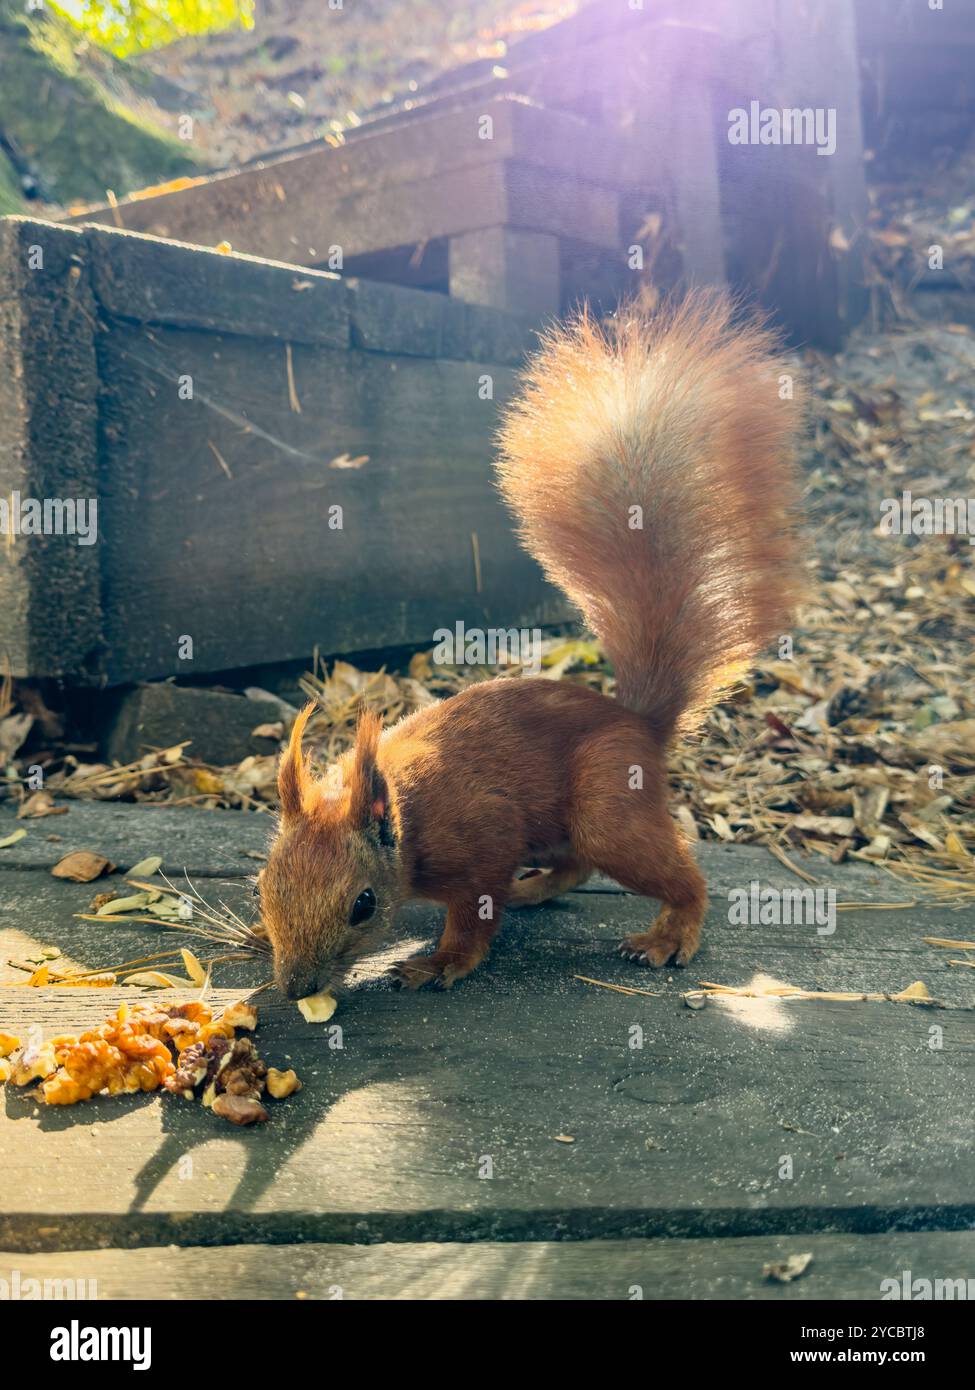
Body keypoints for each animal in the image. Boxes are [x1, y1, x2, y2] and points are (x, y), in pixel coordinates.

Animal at [258, 293, 803, 999]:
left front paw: (441, 962)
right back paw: (537, 890)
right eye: (264, 884)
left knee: (673, 874)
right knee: (574, 866)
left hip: (606, 806)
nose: (295, 987)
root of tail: (641, 723)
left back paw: (669, 933)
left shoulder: (482, 838)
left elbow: (473, 914)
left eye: (364, 905)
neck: (407, 814)